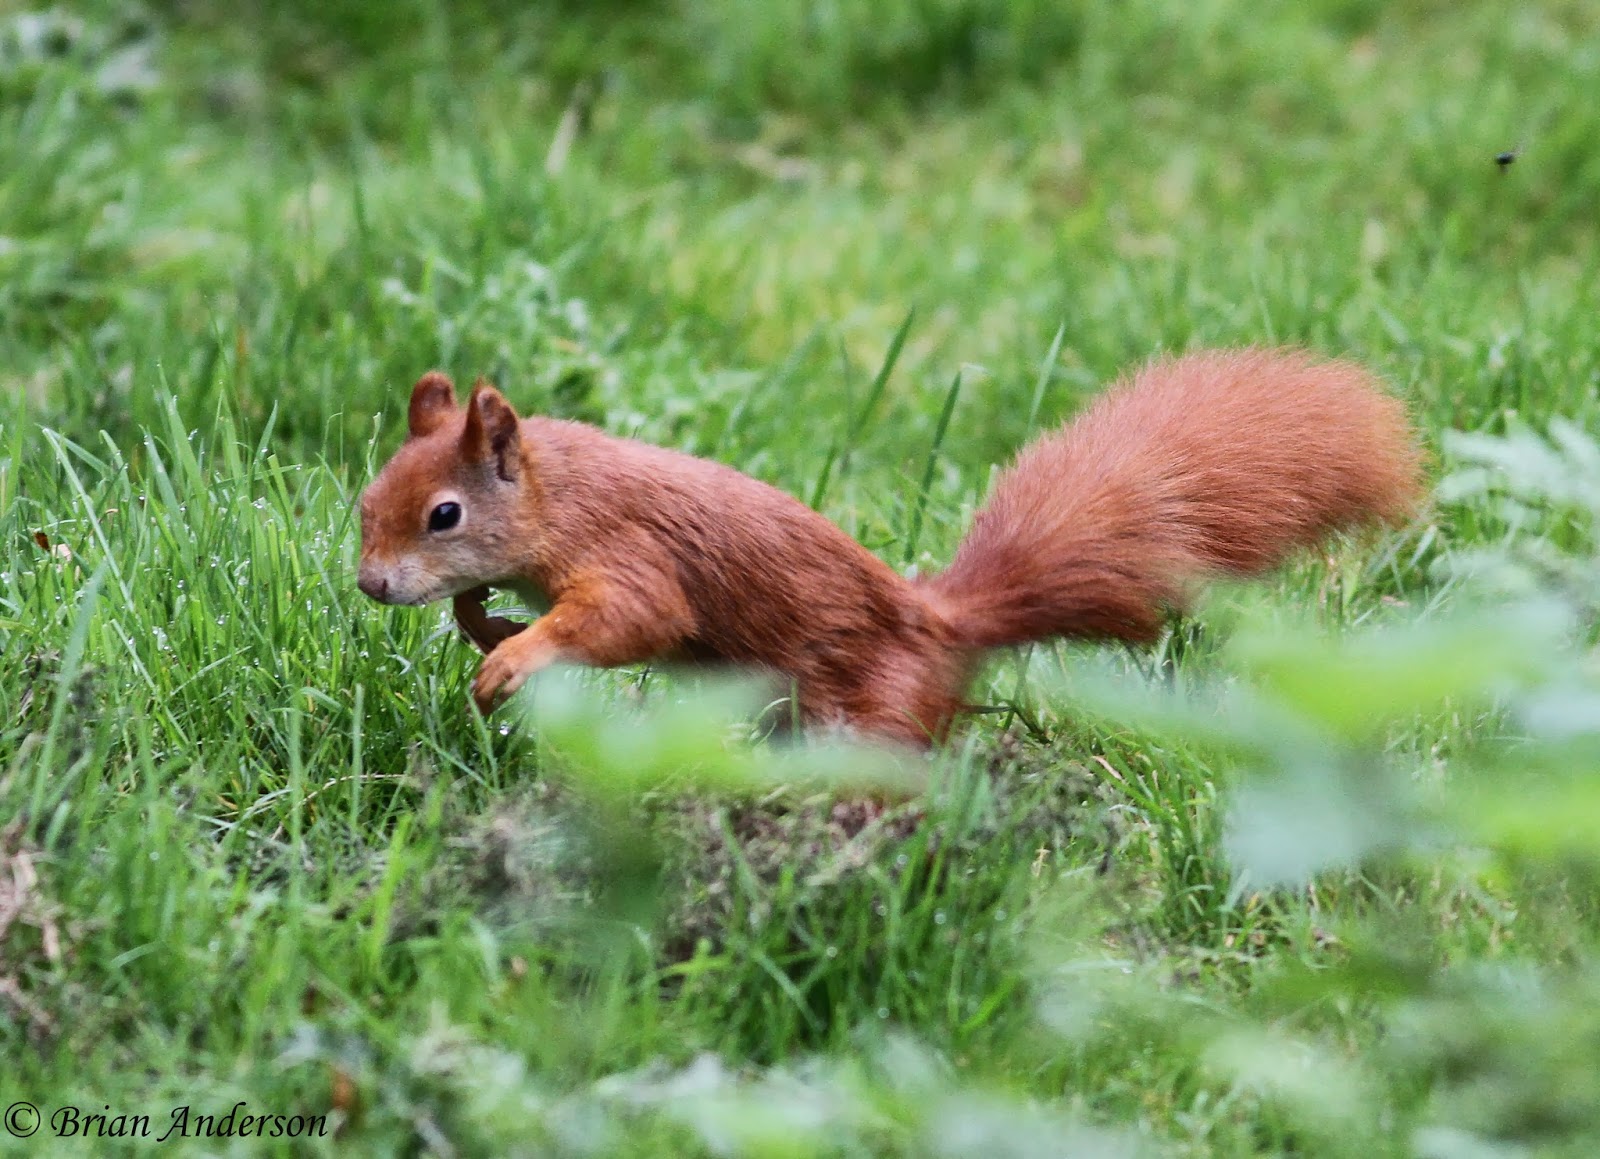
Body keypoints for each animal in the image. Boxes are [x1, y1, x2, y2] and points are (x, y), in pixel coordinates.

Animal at [357, 347, 1423, 747]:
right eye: (367, 501)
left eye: (444, 515)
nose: (370, 583)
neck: (562, 492)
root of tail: (937, 624)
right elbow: (482, 603)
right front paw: (485, 623)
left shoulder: (632, 554)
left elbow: (631, 618)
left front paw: (514, 660)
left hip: (877, 701)